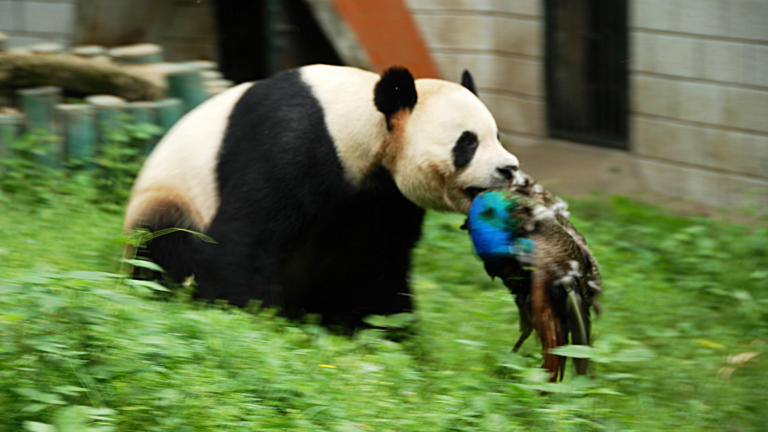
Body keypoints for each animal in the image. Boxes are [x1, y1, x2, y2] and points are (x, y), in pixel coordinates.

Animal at [124, 64, 520, 325]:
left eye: (497, 135)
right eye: (467, 142)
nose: (510, 168)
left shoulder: (382, 195)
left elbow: (374, 261)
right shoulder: (288, 140)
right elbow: (245, 239)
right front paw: (246, 319)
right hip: (169, 198)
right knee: (166, 243)